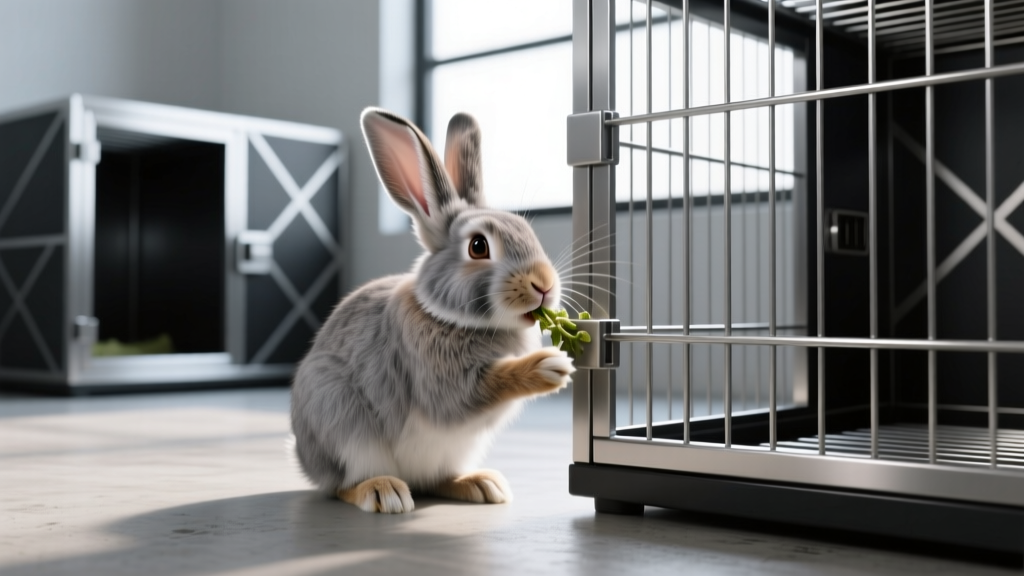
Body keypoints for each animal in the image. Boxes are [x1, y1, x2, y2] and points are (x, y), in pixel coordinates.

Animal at [289, 107, 575, 514]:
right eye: (478, 246)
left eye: (526, 230)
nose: (544, 285)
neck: (448, 317)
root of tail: (302, 457)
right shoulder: (439, 379)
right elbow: (478, 389)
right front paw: (549, 366)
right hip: (340, 419)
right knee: (343, 484)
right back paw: (384, 492)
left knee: (438, 479)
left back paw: (482, 484)